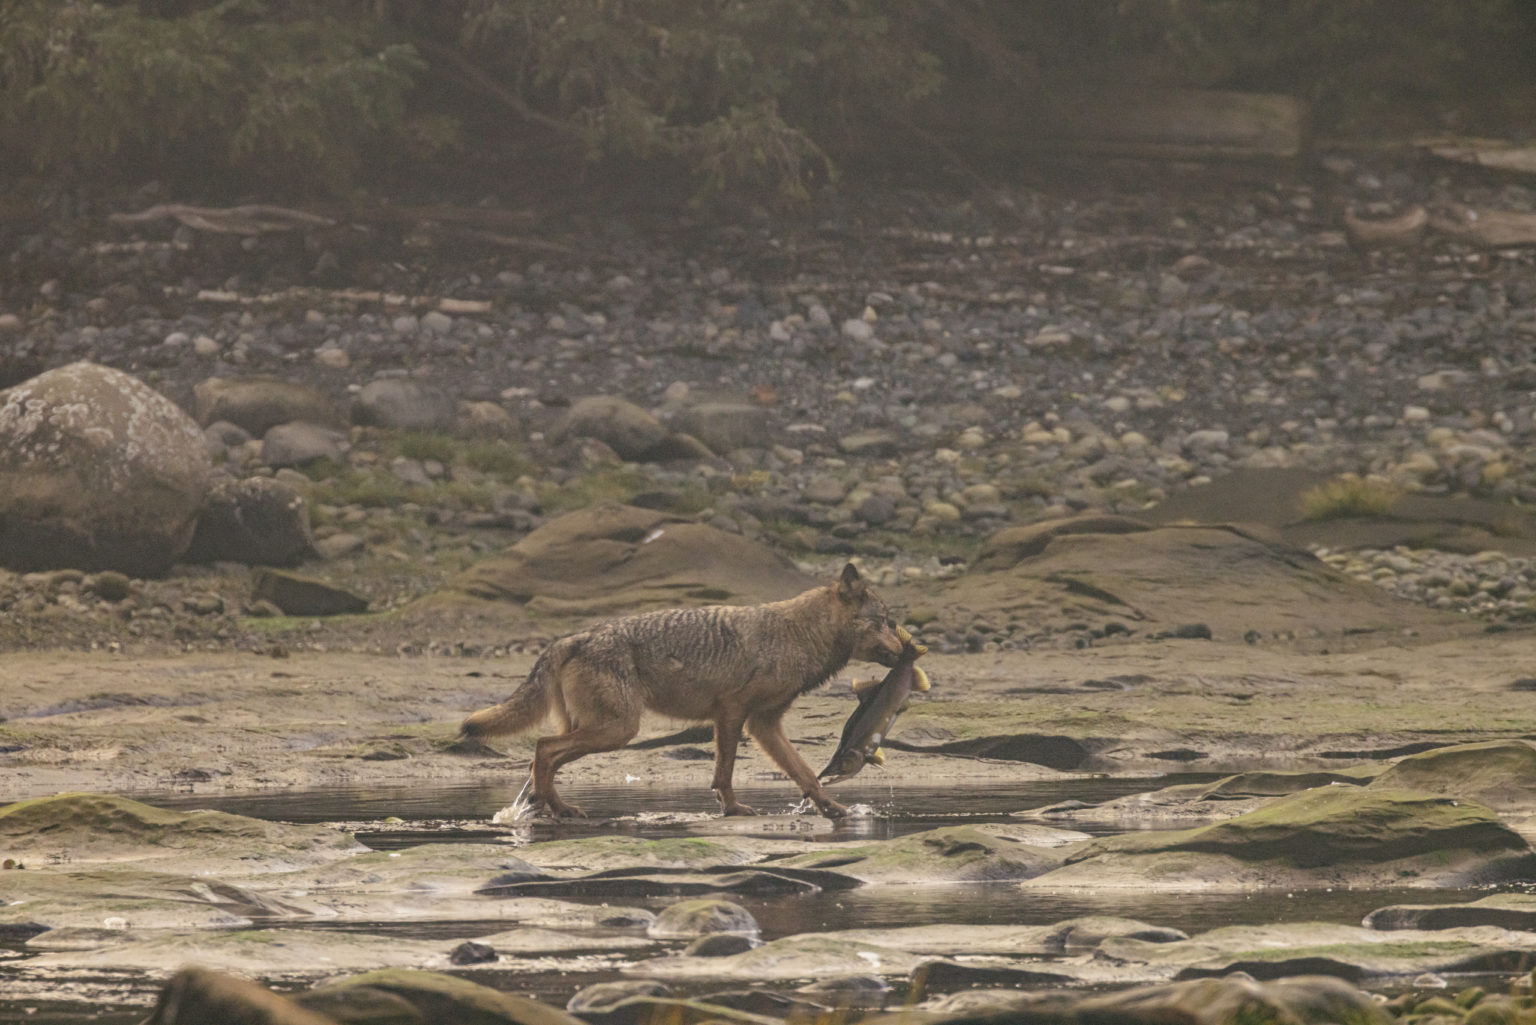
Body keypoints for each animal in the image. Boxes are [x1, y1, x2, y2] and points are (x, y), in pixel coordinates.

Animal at [460, 563, 905, 819]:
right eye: (886, 621)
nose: (907, 652)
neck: (800, 635)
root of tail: (571, 638)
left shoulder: (763, 725)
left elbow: (806, 775)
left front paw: (835, 809)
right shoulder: (733, 714)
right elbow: (726, 772)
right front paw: (732, 809)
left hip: (601, 730)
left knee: (545, 758)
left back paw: (553, 807)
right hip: (617, 731)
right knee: (543, 749)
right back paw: (551, 806)